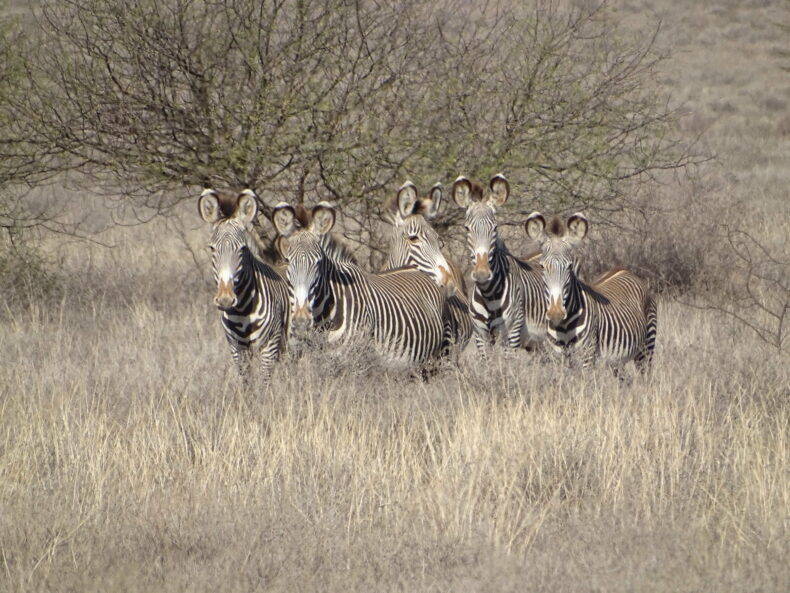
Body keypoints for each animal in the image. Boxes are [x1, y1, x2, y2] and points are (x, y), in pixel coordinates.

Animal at [198, 188, 290, 378]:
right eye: (212, 248)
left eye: (242, 248)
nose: (225, 299)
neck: (242, 310)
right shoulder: (237, 350)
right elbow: (246, 382)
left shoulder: (269, 347)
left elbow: (264, 381)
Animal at [271, 201, 455, 365]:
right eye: (288, 262)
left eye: (318, 262)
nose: (301, 319)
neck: (323, 317)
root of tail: (416, 270)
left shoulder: (353, 360)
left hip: (441, 356)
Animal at [452, 174, 546, 351]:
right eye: (467, 228)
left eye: (495, 228)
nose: (482, 274)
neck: (488, 293)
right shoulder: (481, 336)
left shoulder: (512, 333)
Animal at [524, 212, 657, 371]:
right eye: (542, 266)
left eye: (570, 266)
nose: (556, 313)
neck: (563, 325)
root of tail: (625, 270)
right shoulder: (556, 358)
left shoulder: (586, 358)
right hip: (617, 362)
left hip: (646, 350)